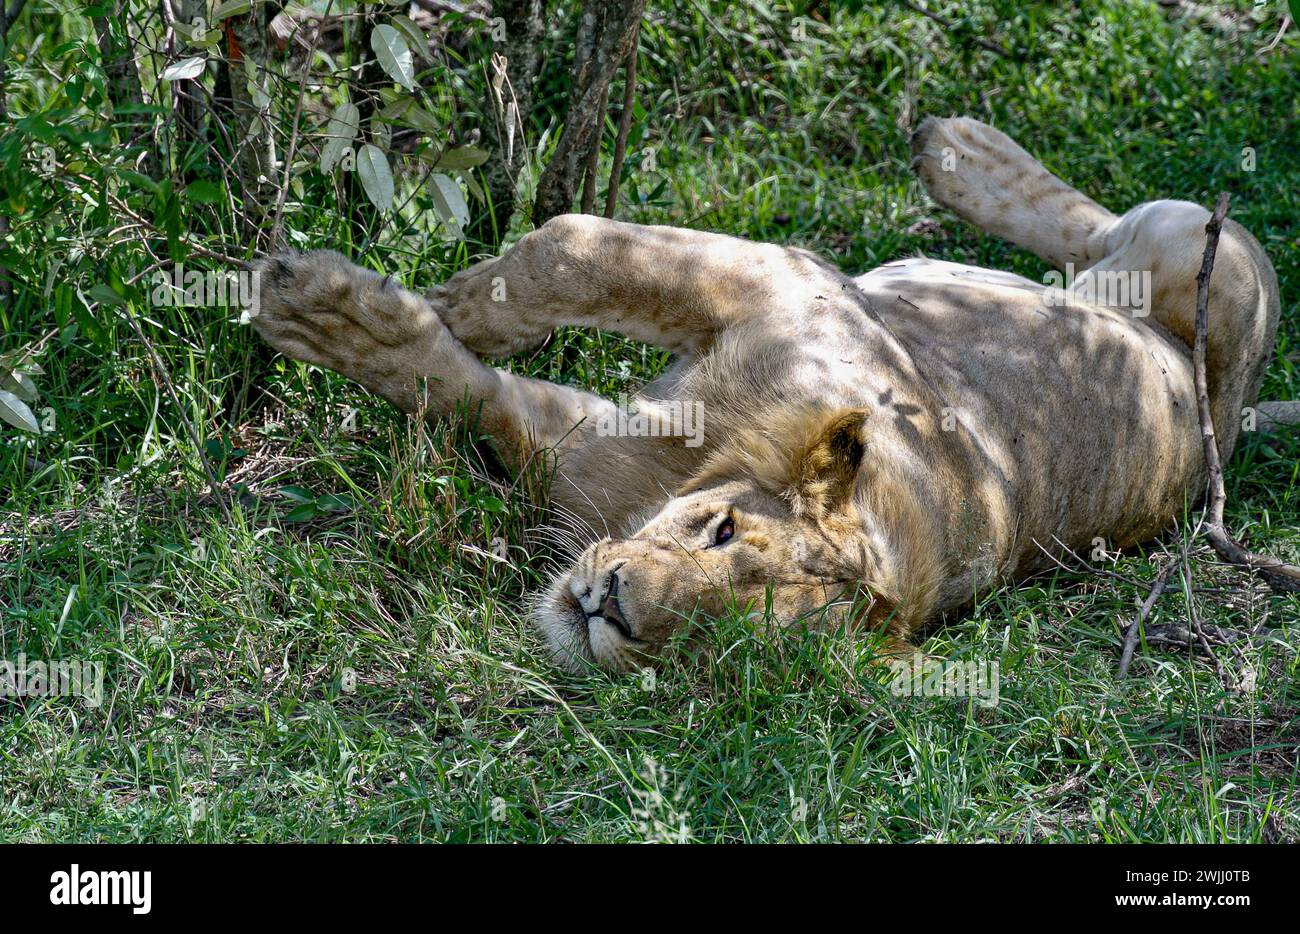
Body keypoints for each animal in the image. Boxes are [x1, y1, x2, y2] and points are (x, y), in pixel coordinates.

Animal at [250, 117, 1289, 673]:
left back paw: (960, 152)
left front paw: (337, 313)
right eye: (719, 531)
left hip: (1212, 270)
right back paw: (962, 148)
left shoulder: (574, 458)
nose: (609, 606)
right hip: (1198, 252)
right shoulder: (779, 282)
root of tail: (1228, 417)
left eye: (726, 641)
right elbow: (566, 248)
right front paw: (385, 301)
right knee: (1098, 225)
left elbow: (463, 390)